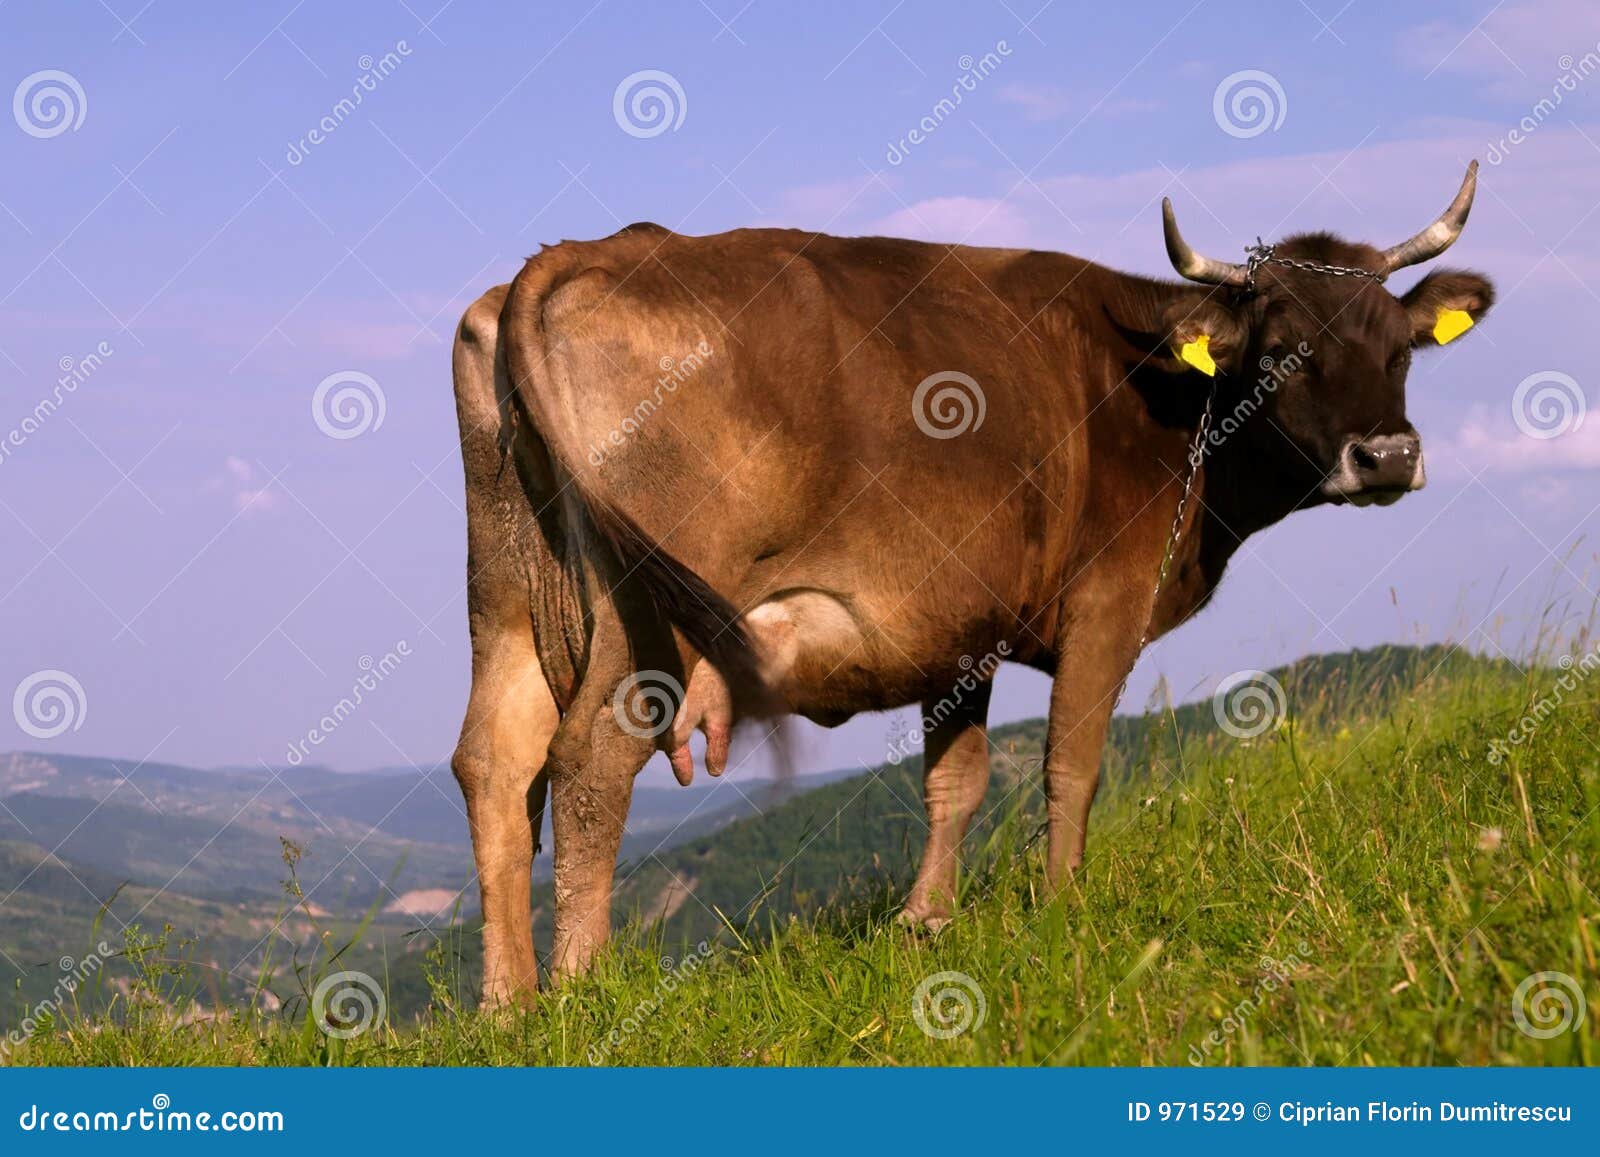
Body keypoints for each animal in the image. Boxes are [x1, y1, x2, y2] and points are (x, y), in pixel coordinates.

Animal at [450, 163, 1493, 1003]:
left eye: (1400, 347)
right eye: (1283, 352)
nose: (1388, 455)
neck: (1165, 396)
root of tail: (580, 253)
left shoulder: (963, 631)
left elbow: (956, 778)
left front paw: (926, 921)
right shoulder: (1109, 600)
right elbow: (1071, 761)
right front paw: (1062, 904)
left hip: (508, 600)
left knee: (496, 763)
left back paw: (509, 1006)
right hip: (642, 611)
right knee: (591, 756)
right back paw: (583, 989)